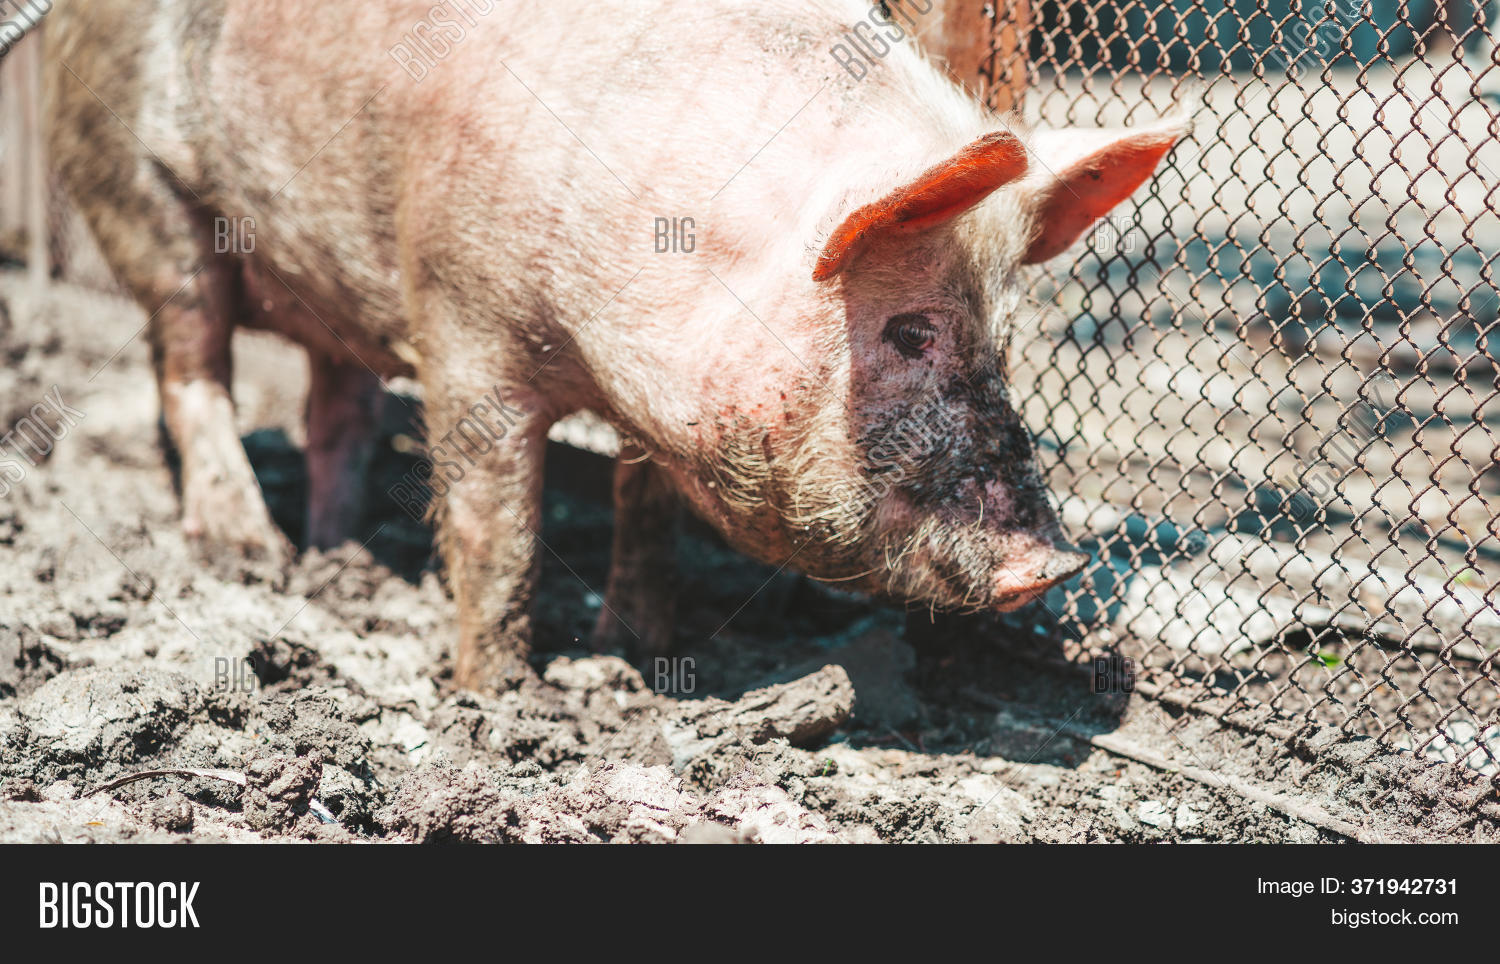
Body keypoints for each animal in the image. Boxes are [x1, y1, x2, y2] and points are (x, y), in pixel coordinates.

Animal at [44, 0, 1186, 691]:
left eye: (1005, 337)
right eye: (908, 331)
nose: (1055, 560)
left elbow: (643, 510)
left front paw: (638, 651)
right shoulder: (459, 309)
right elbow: (497, 526)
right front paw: (494, 696)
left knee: (339, 409)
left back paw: (333, 555)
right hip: (144, 197)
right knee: (192, 369)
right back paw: (250, 553)